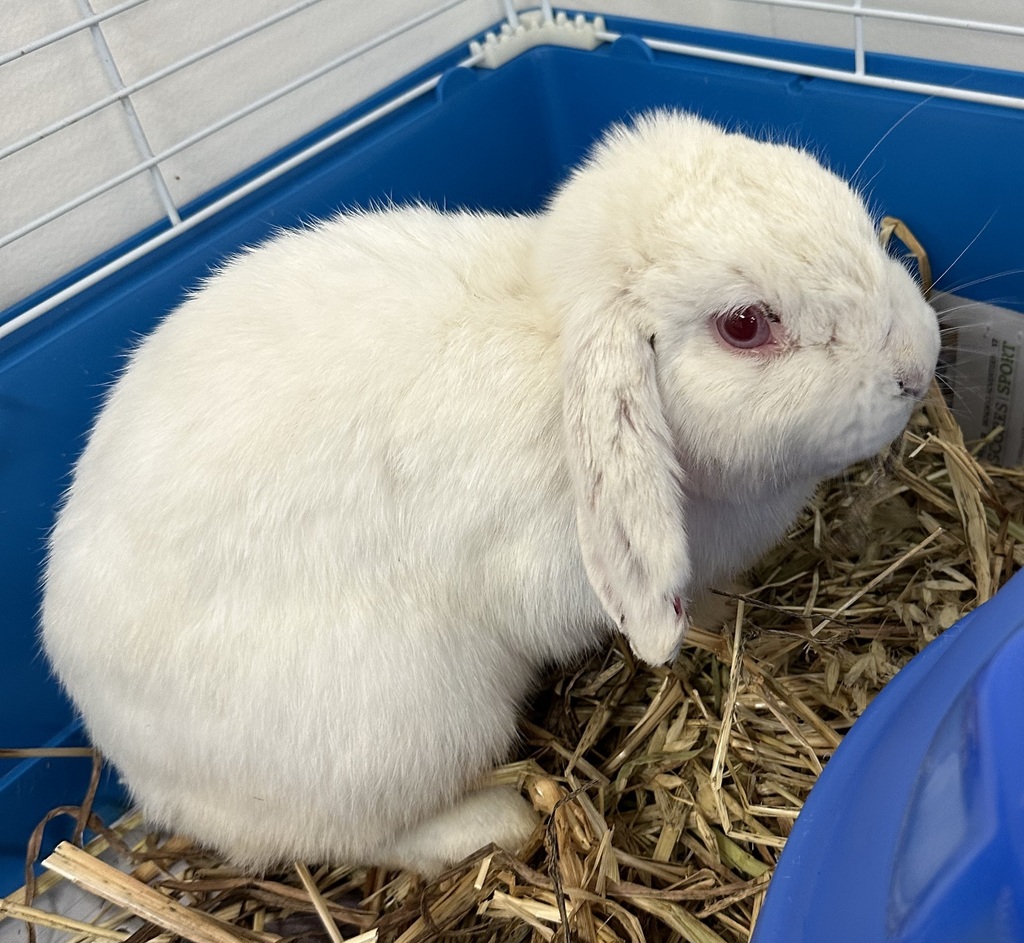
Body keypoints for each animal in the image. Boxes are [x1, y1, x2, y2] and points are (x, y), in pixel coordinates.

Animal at [40, 111, 940, 876]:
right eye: (746, 325)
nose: (917, 365)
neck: (551, 334)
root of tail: (139, 772)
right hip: (404, 722)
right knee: (353, 837)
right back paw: (497, 822)